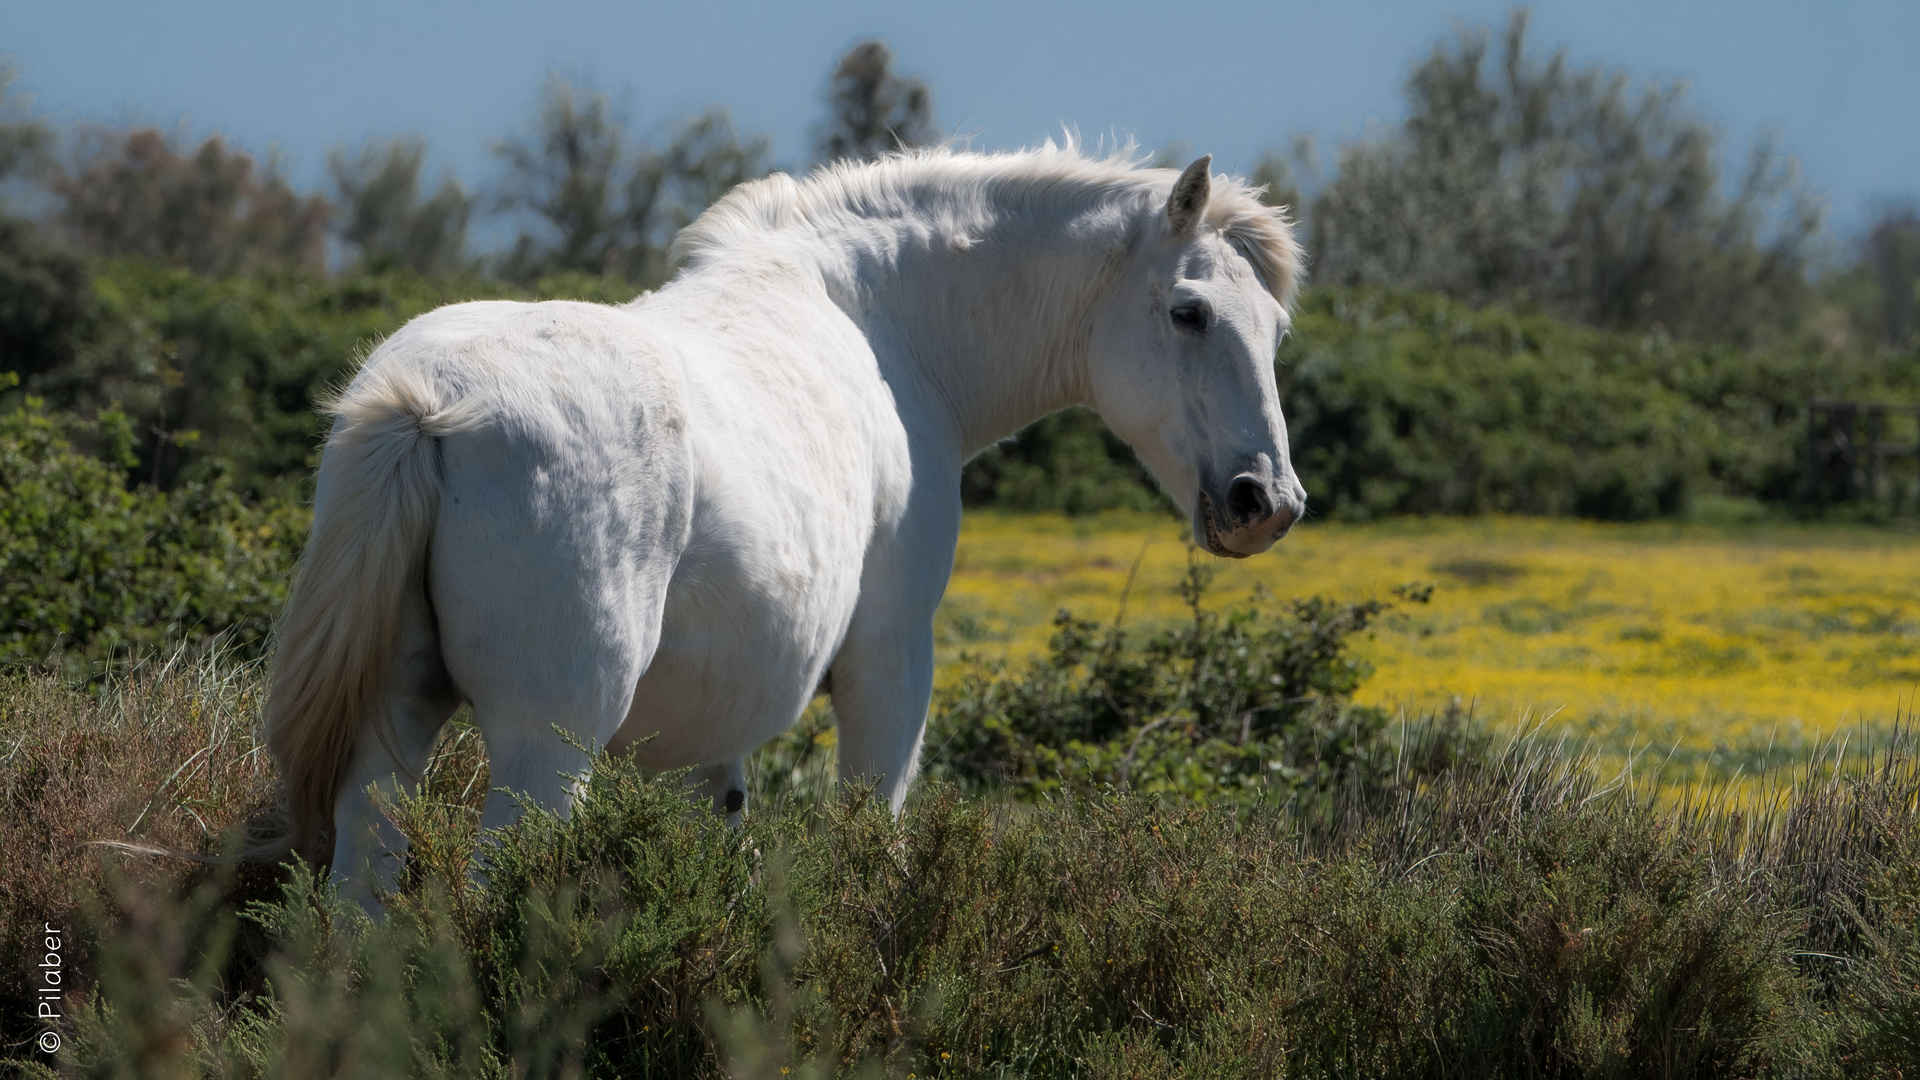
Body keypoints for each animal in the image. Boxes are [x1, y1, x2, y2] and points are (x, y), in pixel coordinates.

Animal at [266, 141, 1305, 899]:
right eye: (1189, 312)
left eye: (1278, 330)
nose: (1268, 502)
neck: (880, 321)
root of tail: (430, 406)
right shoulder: (890, 663)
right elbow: (872, 834)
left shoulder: (708, 735)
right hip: (544, 750)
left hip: (397, 726)